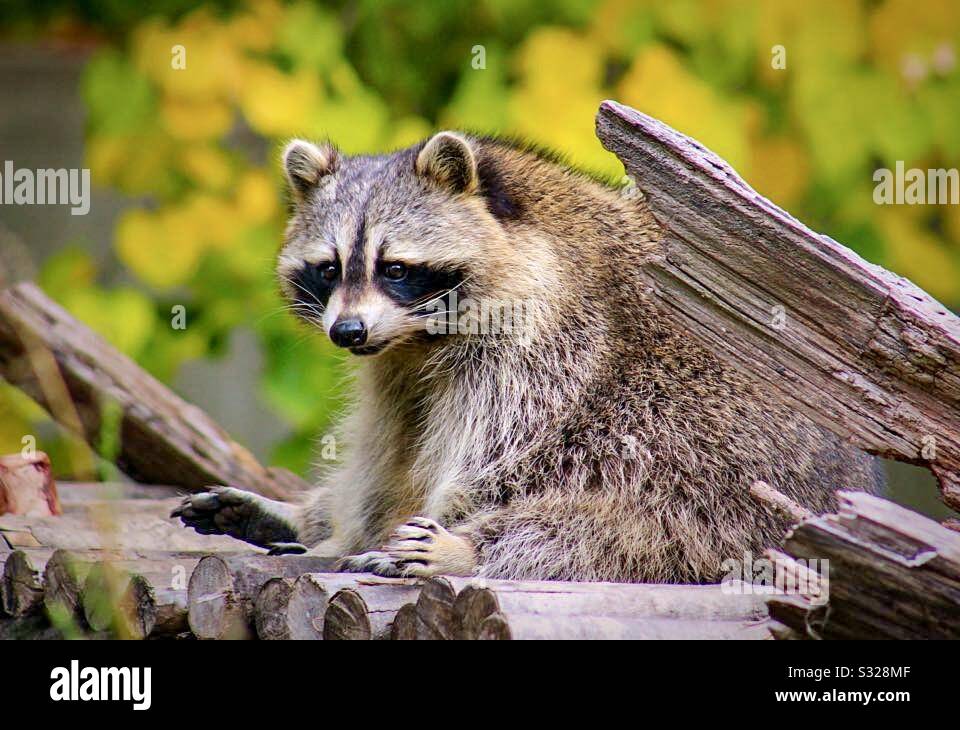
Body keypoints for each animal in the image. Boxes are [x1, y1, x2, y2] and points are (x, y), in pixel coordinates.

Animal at [173, 131, 884, 583]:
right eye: (327, 269)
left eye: (395, 268)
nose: (347, 332)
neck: (419, 338)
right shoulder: (393, 370)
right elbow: (385, 454)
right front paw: (331, 521)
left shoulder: (549, 341)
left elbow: (501, 461)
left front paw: (443, 532)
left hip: (733, 502)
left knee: (614, 531)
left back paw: (466, 551)